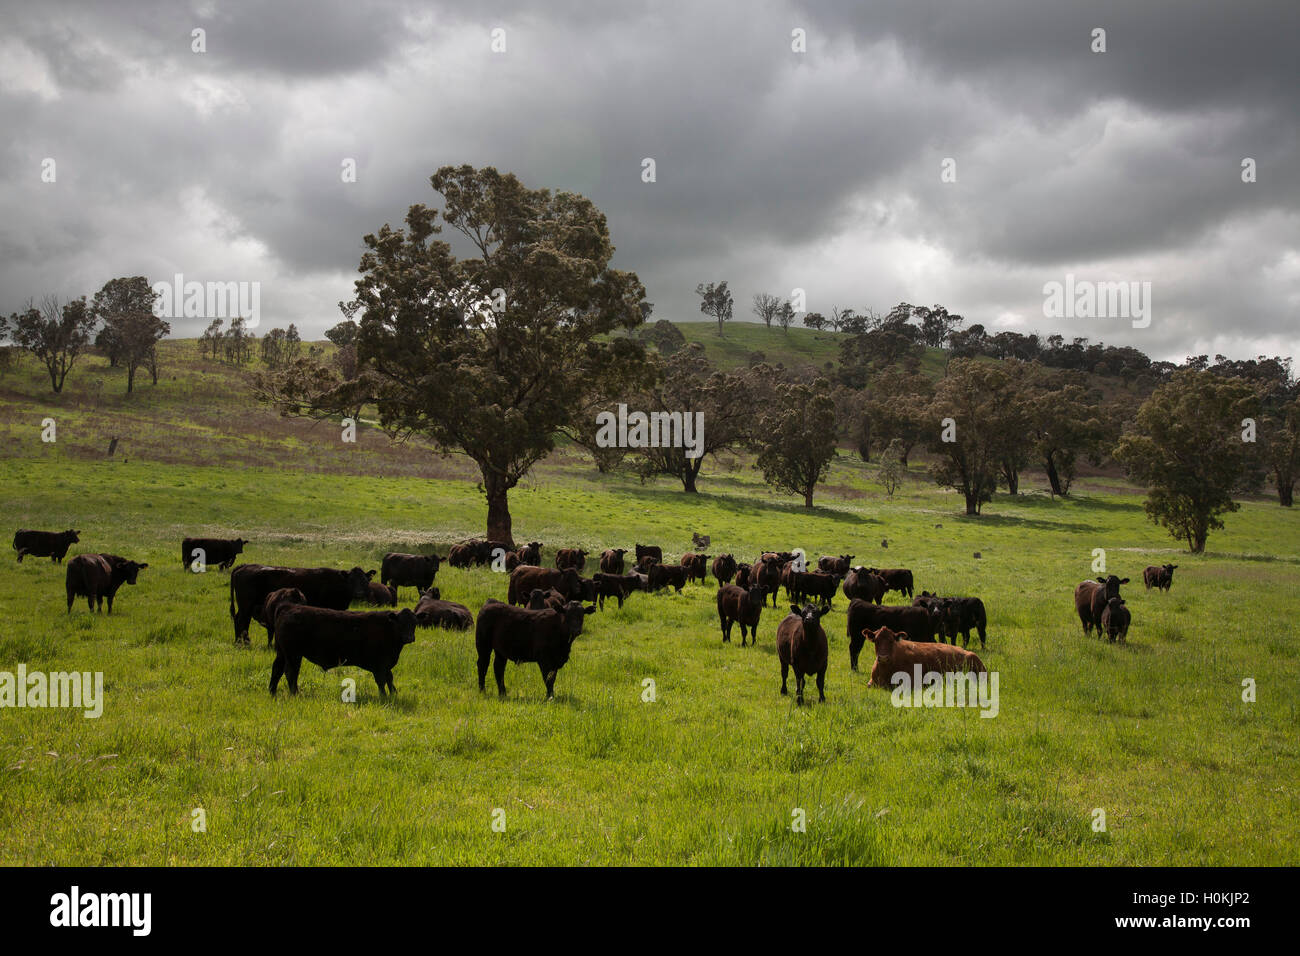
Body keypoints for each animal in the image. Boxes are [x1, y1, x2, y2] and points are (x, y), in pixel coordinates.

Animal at [229, 564, 375, 645]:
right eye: (351, 580)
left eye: (365, 580)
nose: (359, 593)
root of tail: (244, 566)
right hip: (246, 604)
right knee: (242, 620)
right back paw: (244, 642)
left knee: (239, 619)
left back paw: (238, 641)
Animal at [269, 606, 418, 696]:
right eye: (400, 623)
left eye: (414, 623)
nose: (409, 637)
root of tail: (289, 607)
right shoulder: (379, 664)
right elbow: (382, 680)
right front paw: (384, 696)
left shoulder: (386, 664)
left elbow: (389, 678)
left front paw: (393, 694)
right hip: (293, 654)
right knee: (290, 672)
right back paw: (295, 693)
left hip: (282, 653)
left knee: (277, 669)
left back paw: (272, 692)